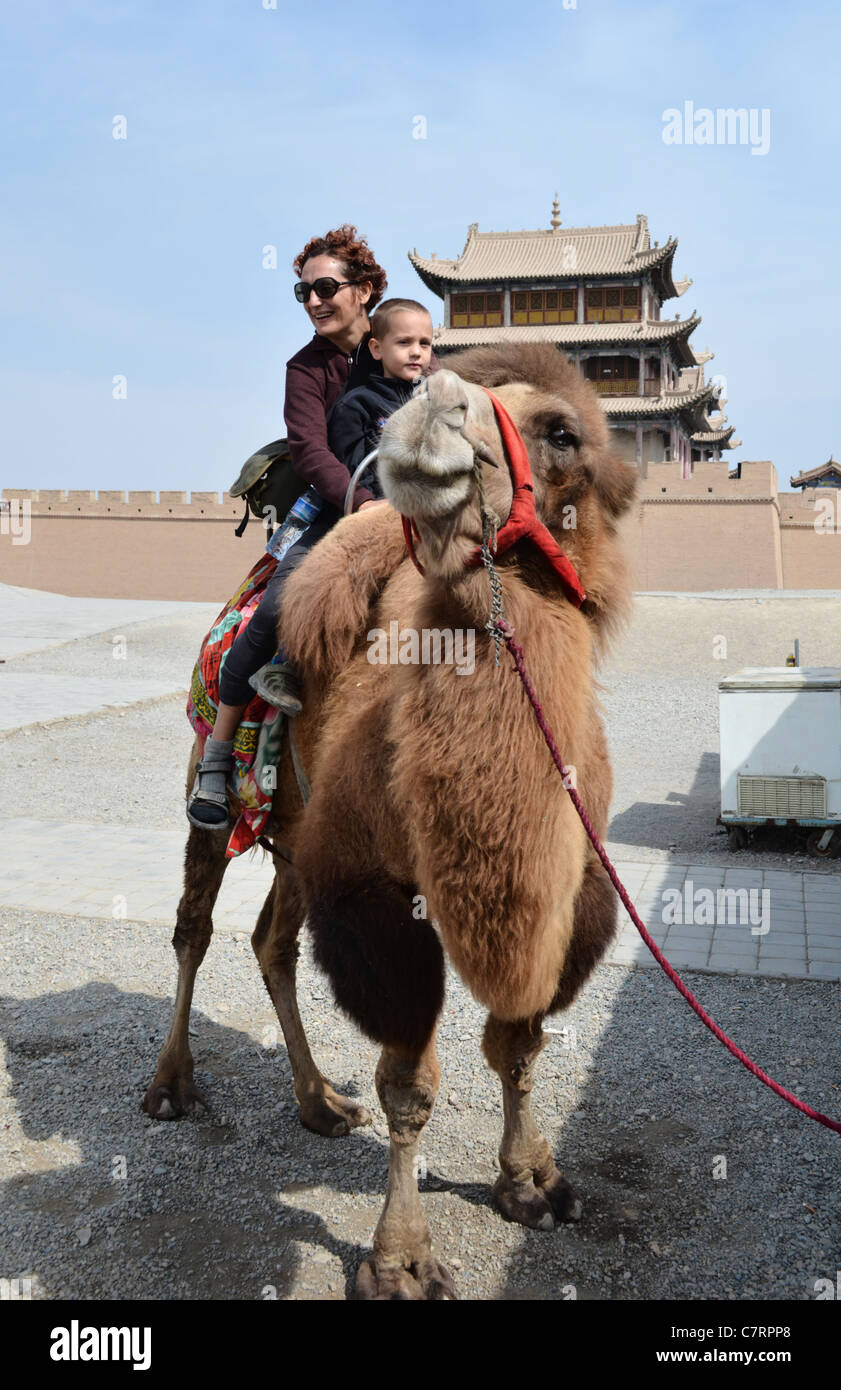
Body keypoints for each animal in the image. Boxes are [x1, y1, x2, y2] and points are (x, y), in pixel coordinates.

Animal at [144, 343, 637, 1299]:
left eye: (562, 431)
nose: (431, 406)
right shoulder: (374, 894)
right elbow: (409, 1080)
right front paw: (400, 1258)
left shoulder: (572, 892)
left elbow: (519, 1042)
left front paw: (530, 1181)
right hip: (217, 805)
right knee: (194, 924)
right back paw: (172, 1086)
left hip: (298, 841)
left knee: (269, 942)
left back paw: (317, 1103)